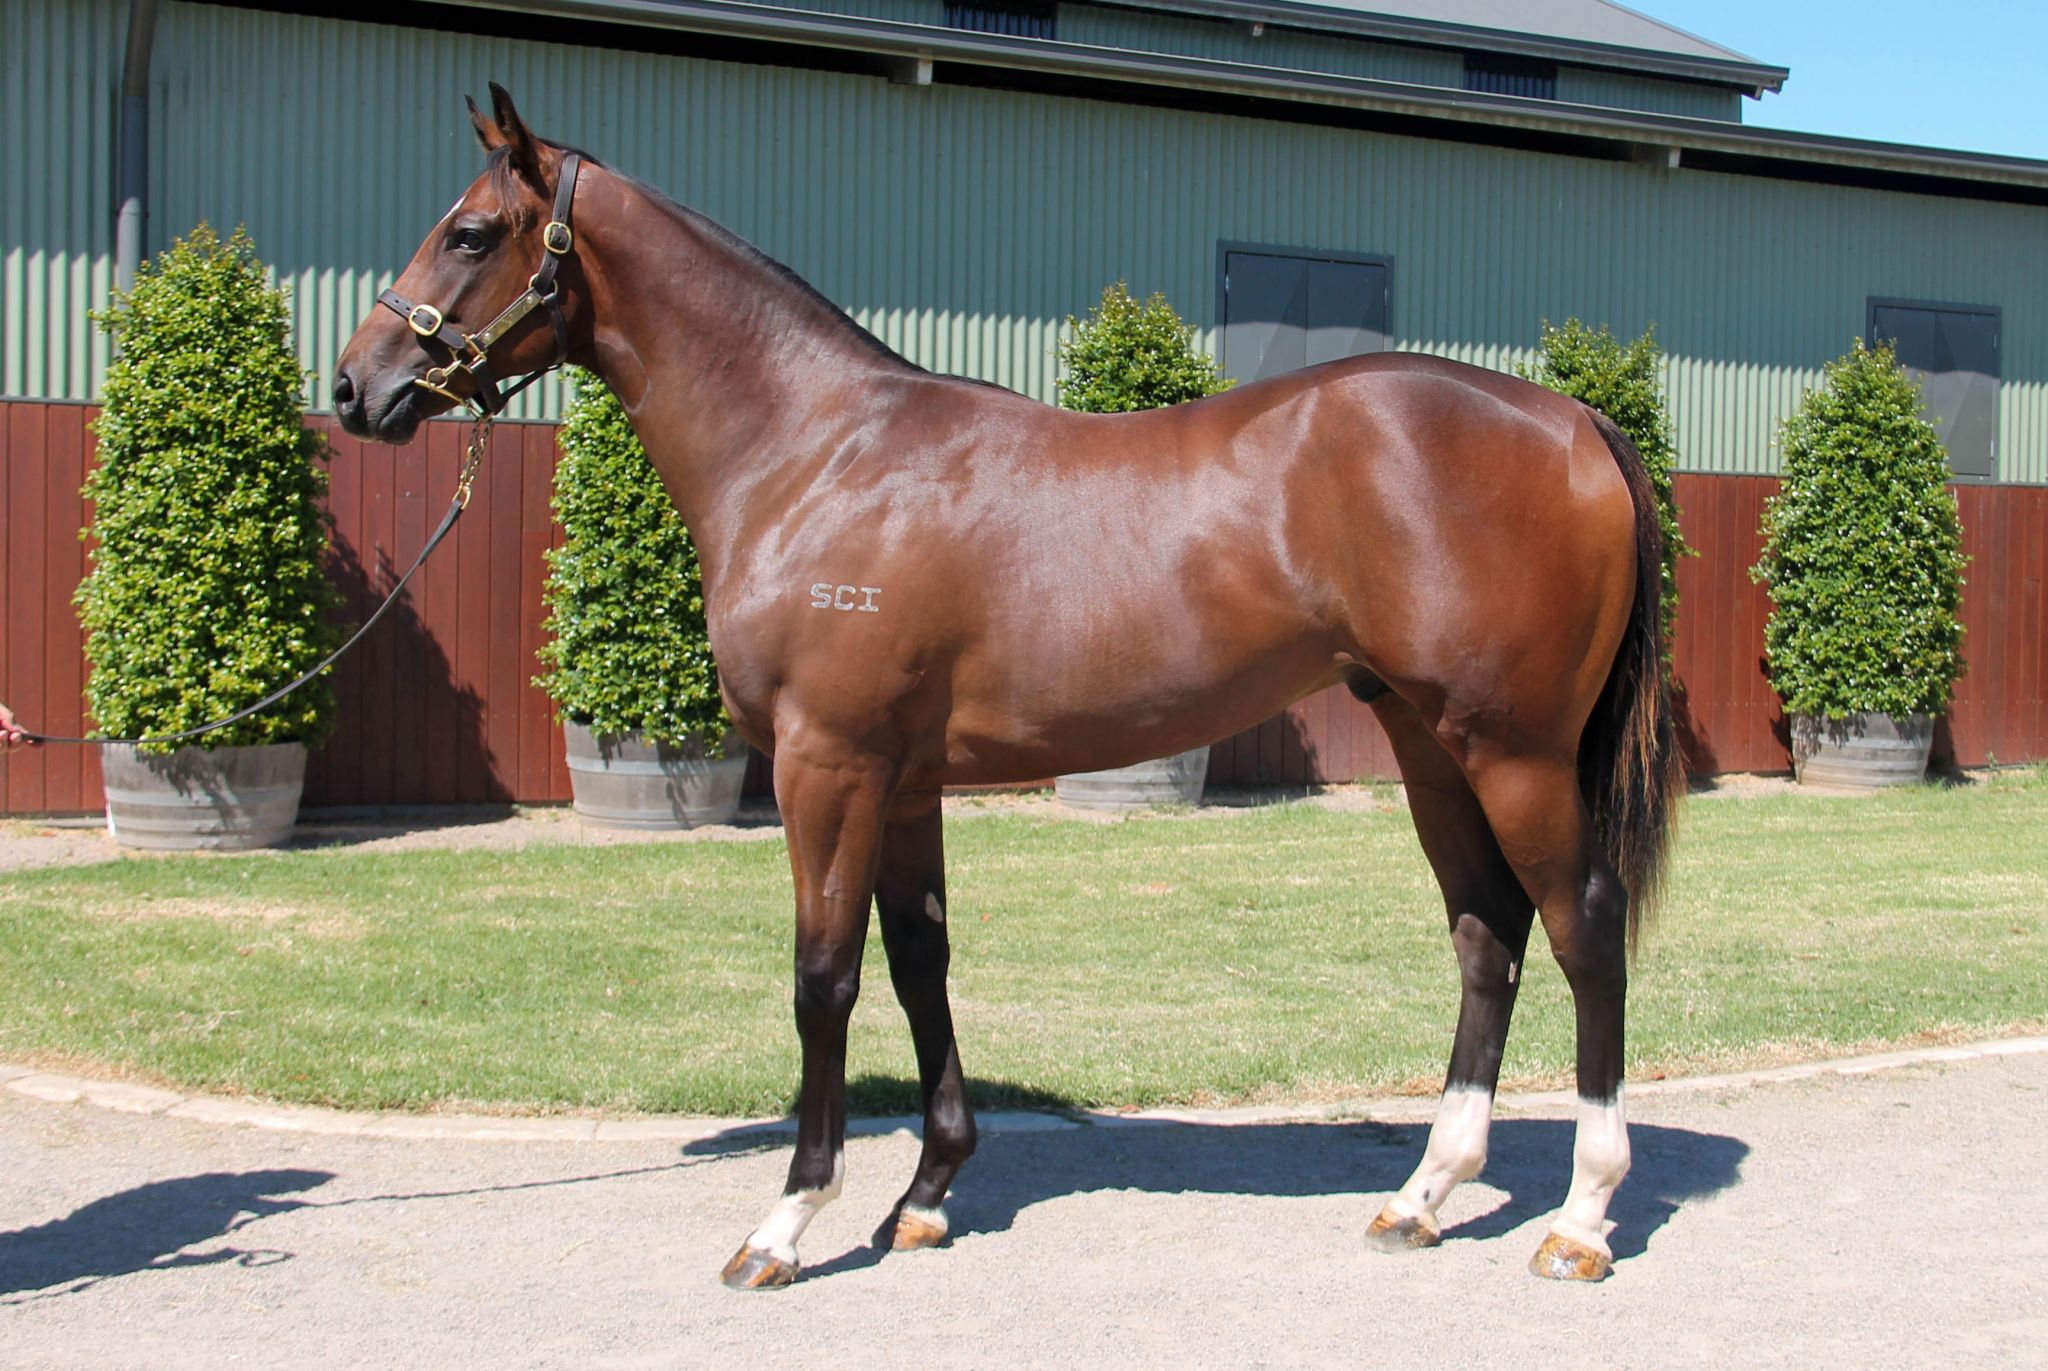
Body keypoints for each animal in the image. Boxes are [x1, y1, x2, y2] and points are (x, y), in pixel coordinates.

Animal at [336, 86, 1683, 1287]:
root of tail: (1572, 420)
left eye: (469, 232)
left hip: (1510, 749)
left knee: (1582, 926)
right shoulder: (902, 779)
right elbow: (919, 961)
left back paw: (1580, 1219)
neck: (818, 454)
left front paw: (789, 1220)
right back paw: (1422, 1194)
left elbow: (823, 978)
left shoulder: (827, 764)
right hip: (1424, 741)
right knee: (1485, 930)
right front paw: (926, 1194)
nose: (358, 387)